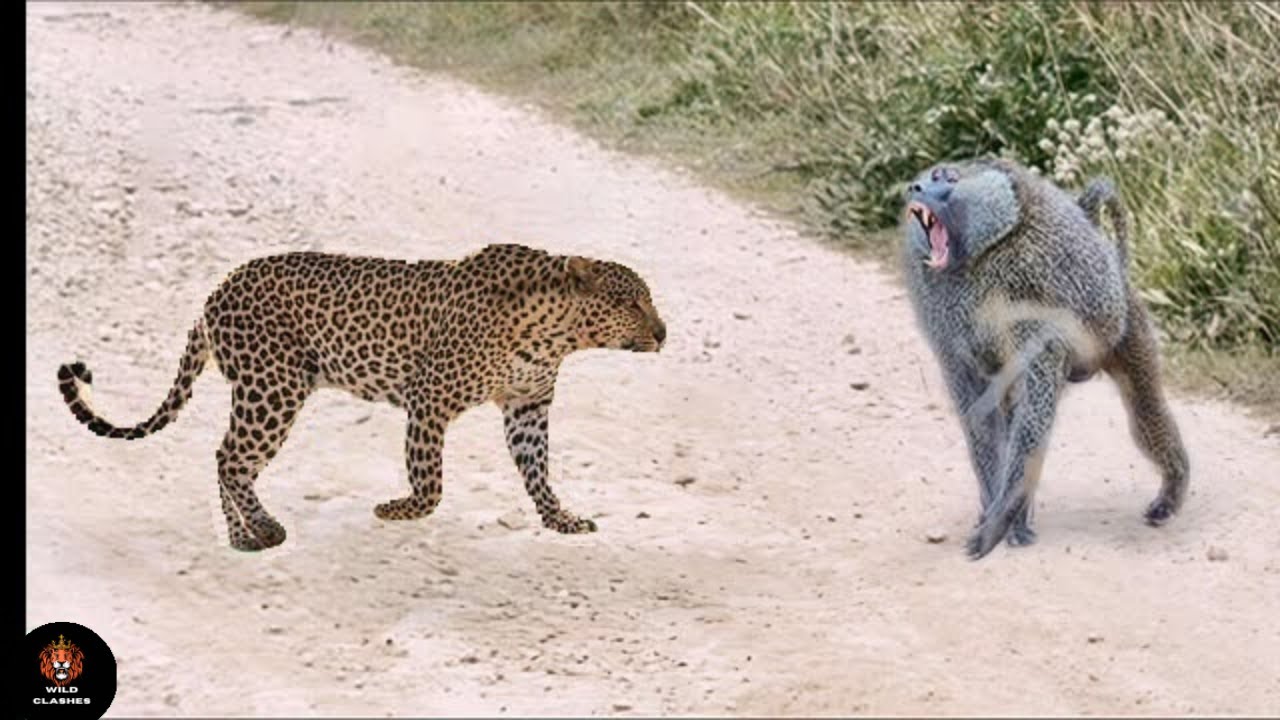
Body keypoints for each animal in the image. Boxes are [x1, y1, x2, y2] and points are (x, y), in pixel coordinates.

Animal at [57, 244, 667, 551]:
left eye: (648, 300)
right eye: (630, 303)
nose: (663, 332)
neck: (554, 333)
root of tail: (216, 289)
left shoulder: (527, 408)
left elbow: (537, 472)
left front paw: (561, 519)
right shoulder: (429, 401)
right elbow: (431, 485)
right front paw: (394, 510)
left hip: (263, 391)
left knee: (228, 457)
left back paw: (242, 535)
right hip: (274, 387)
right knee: (230, 457)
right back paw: (266, 528)